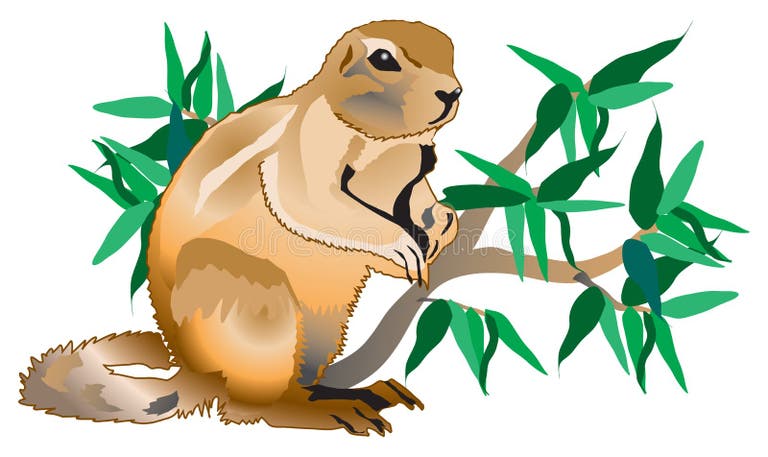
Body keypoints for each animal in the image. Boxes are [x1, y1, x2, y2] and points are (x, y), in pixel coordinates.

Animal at [20, 20, 461, 436]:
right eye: (383, 59)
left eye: (450, 49)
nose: (452, 93)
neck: (388, 144)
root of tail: (193, 375)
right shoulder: (307, 143)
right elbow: (312, 202)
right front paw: (403, 243)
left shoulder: (410, 172)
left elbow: (416, 203)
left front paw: (442, 224)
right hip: (255, 298)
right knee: (253, 407)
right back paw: (324, 409)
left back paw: (358, 393)